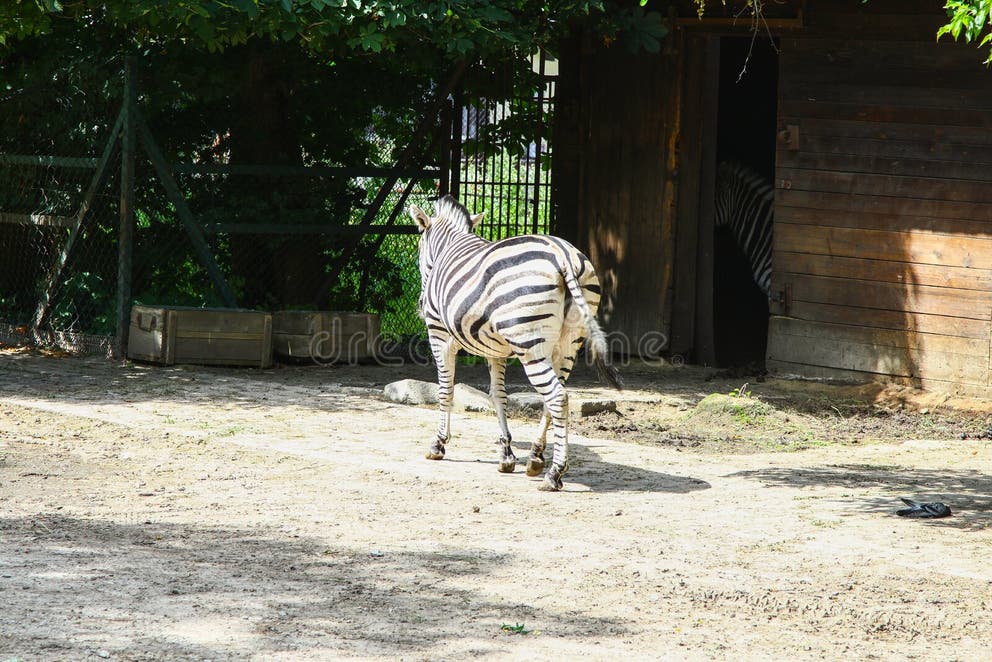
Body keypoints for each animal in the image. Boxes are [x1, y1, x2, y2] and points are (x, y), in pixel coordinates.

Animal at [408, 195, 622, 492]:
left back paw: (554, 474)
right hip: (568, 343)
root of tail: (563, 255)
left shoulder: (439, 335)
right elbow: (498, 396)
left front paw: (438, 445)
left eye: (419, 246)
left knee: (557, 396)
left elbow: (445, 390)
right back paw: (535, 457)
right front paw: (506, 455)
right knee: (556, 397)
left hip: (530, 344)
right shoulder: (494, 349)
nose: (418, 303)